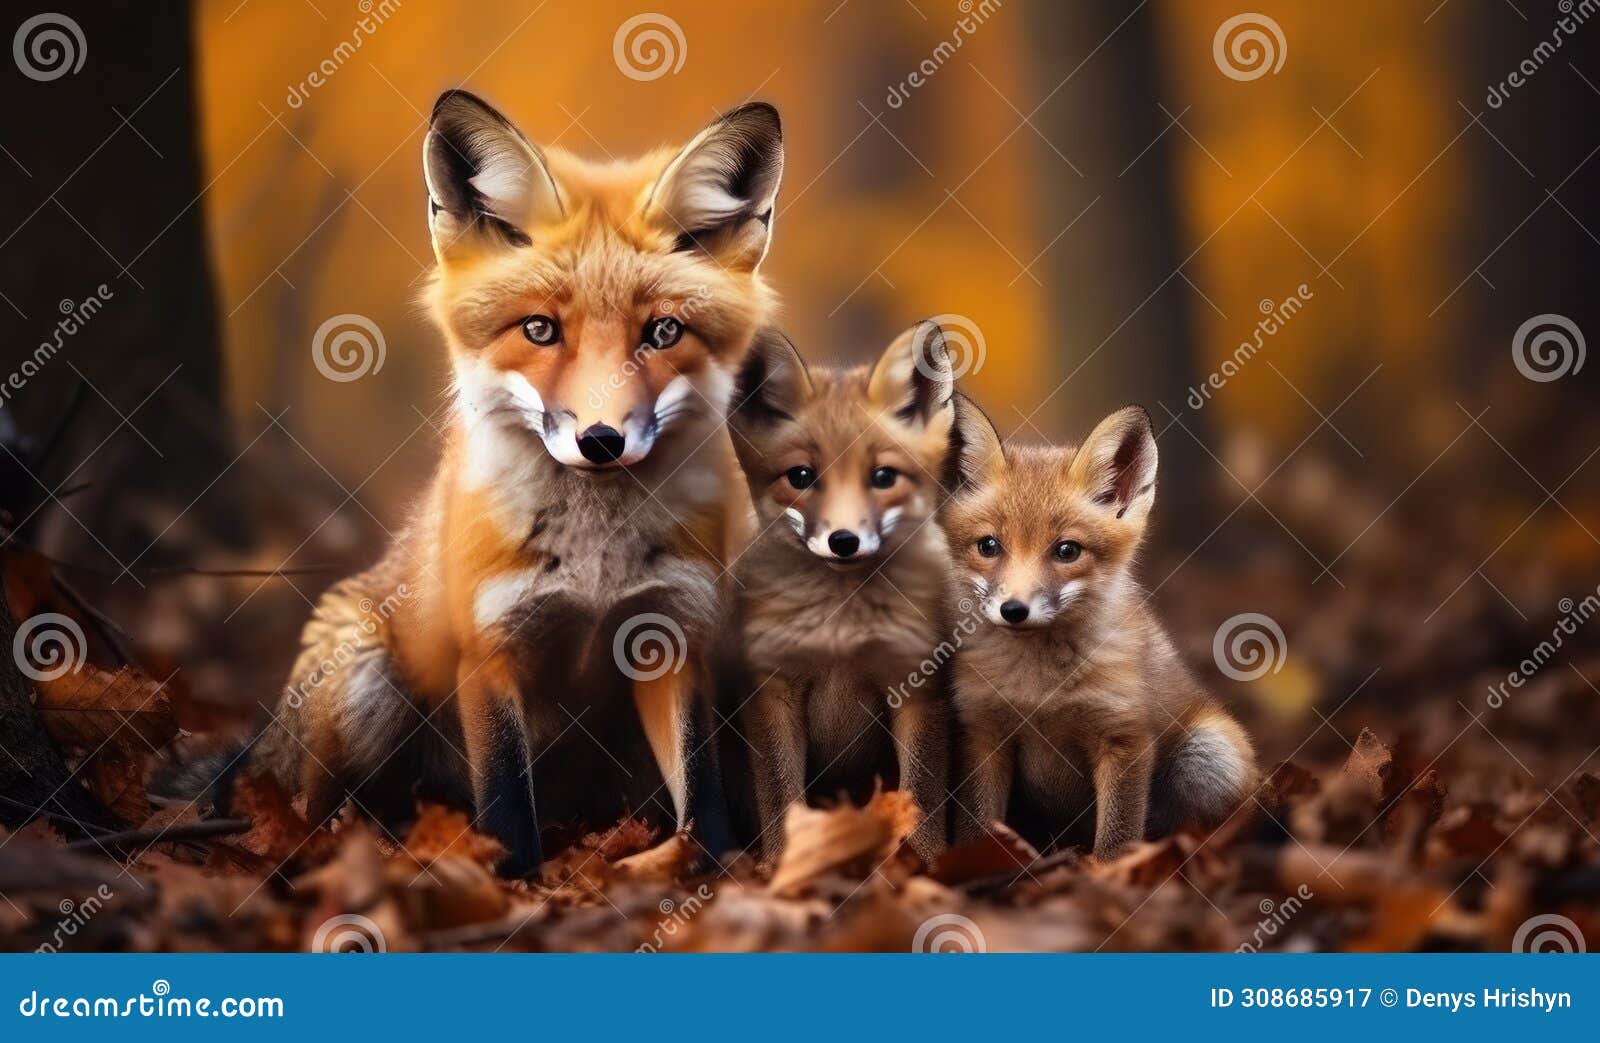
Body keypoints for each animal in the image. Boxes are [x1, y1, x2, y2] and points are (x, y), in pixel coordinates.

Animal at [241, 91, 786, 876]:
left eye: (662, 333)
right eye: (539, 330)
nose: (601, 440)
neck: (595, 561)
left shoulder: (672, 635)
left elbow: (700, 783)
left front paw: (714, 867)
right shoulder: (490, 648)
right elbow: (503, 798)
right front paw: (513, 881)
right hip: (364, 682)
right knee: (322, 808)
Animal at [725, 321, 958, 861]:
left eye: (883, 477)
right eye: (801, 477)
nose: (844, 541)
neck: (841, 627)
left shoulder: (917, 684)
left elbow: (922, 801)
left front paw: (928, 868)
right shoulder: (773, 688)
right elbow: (782, 803)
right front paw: (780, 868)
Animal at [940, 396, 1255, 858]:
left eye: (1067, 550)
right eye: (989, 546)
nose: (1014, 609)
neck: (1040, 692)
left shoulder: (1124, 737)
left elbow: (1117, 839)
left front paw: (1110, 873)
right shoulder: (983, 731)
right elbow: (975, 826)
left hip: (1208, 756)